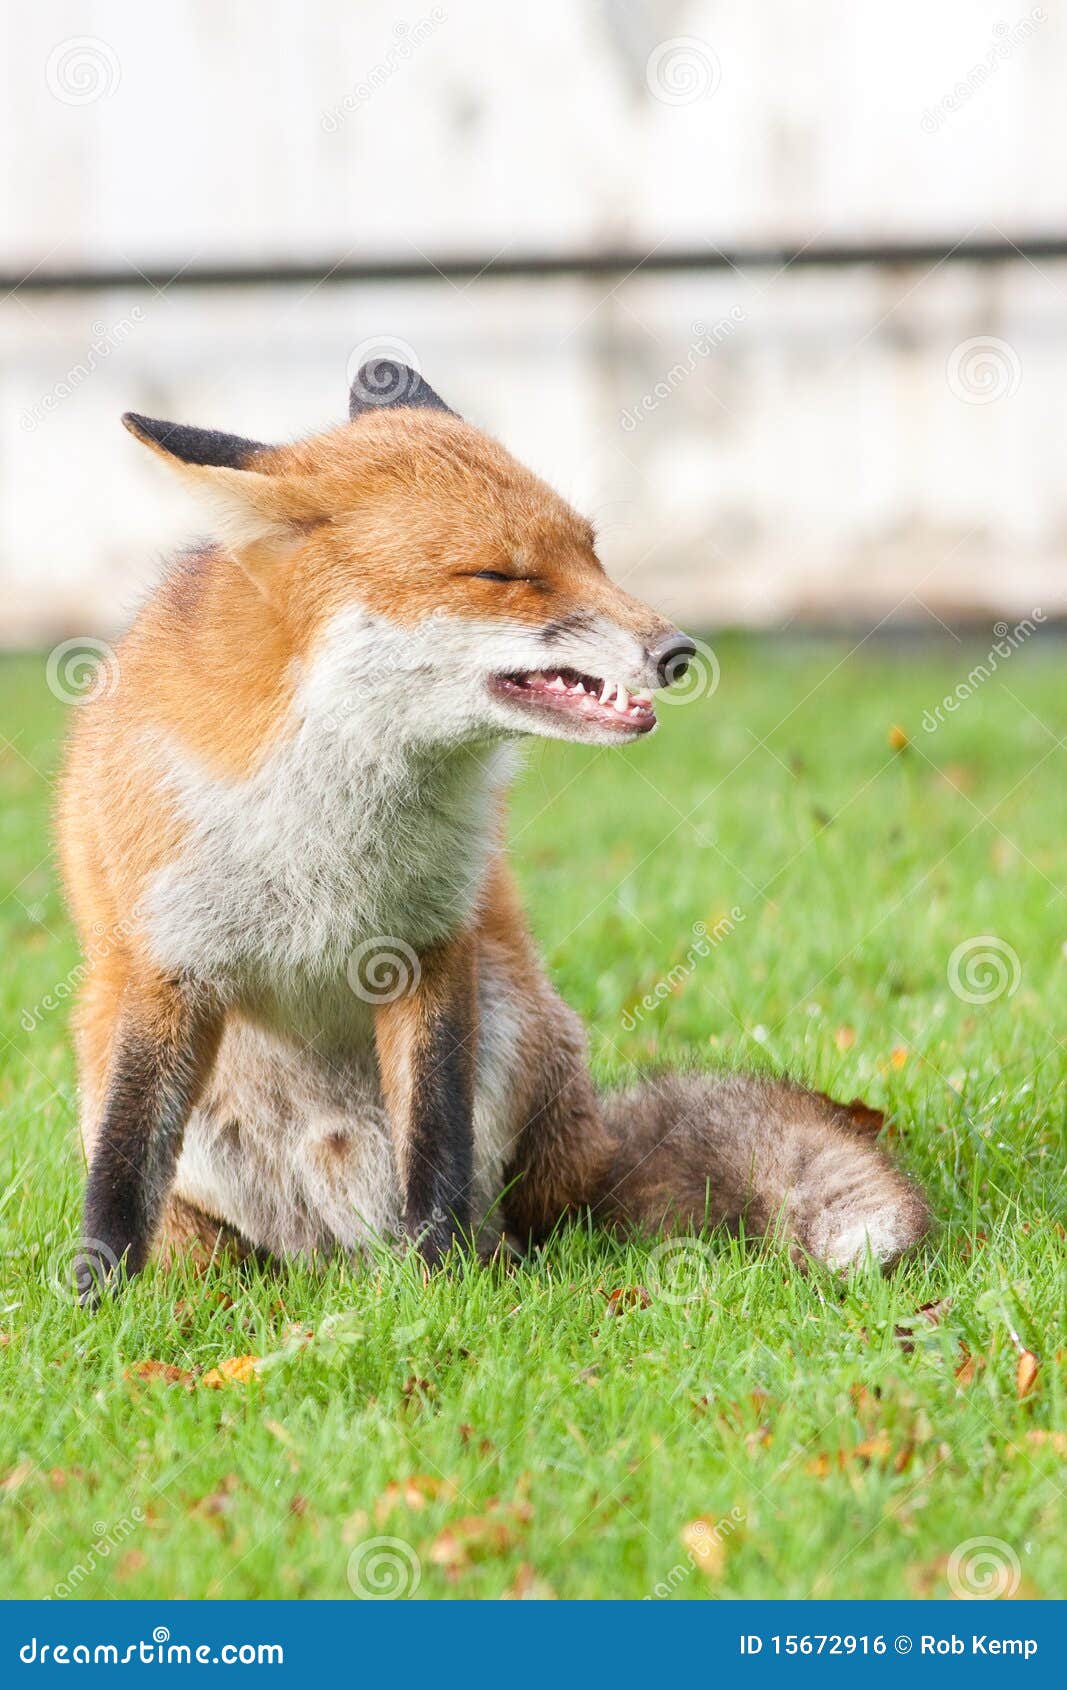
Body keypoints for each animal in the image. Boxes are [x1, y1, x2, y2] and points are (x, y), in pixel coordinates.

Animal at [57, 359, 929, 1298]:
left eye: (590, 551)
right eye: (501, 576)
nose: (678, 653)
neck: (325, 818)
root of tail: (336, 1257)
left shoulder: (431, 946)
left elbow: (435, 1147)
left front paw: (440, 1292)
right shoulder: (167, 966)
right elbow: (121, 1172)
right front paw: (96, 1305)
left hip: (511, 1016)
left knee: (513, 1214)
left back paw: (477, 1263)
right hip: (120, 1069)